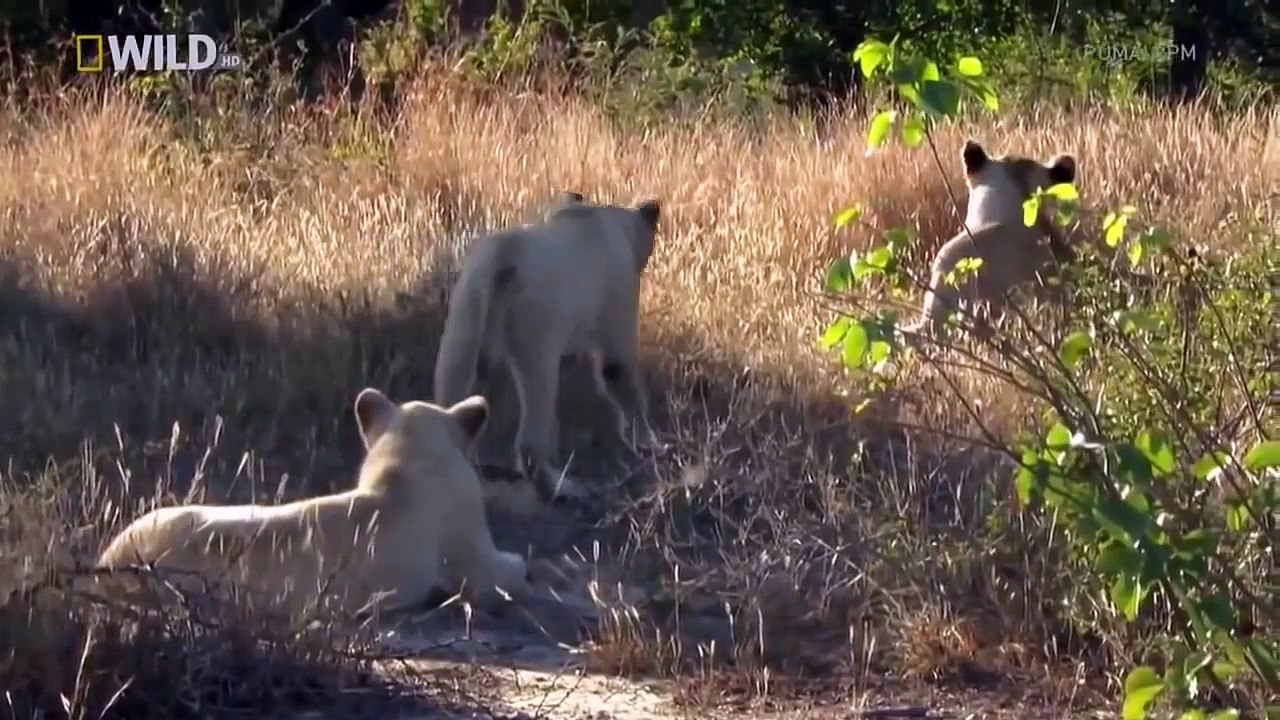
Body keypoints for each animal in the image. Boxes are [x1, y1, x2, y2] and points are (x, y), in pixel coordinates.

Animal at [433, 194, 663, 504]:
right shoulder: (612, 292)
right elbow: (616, 365)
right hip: (535, 318)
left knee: (454, 379)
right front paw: (648, 439)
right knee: (537, 394)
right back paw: (561, 485)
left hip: (468, 305)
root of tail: (504, 262)